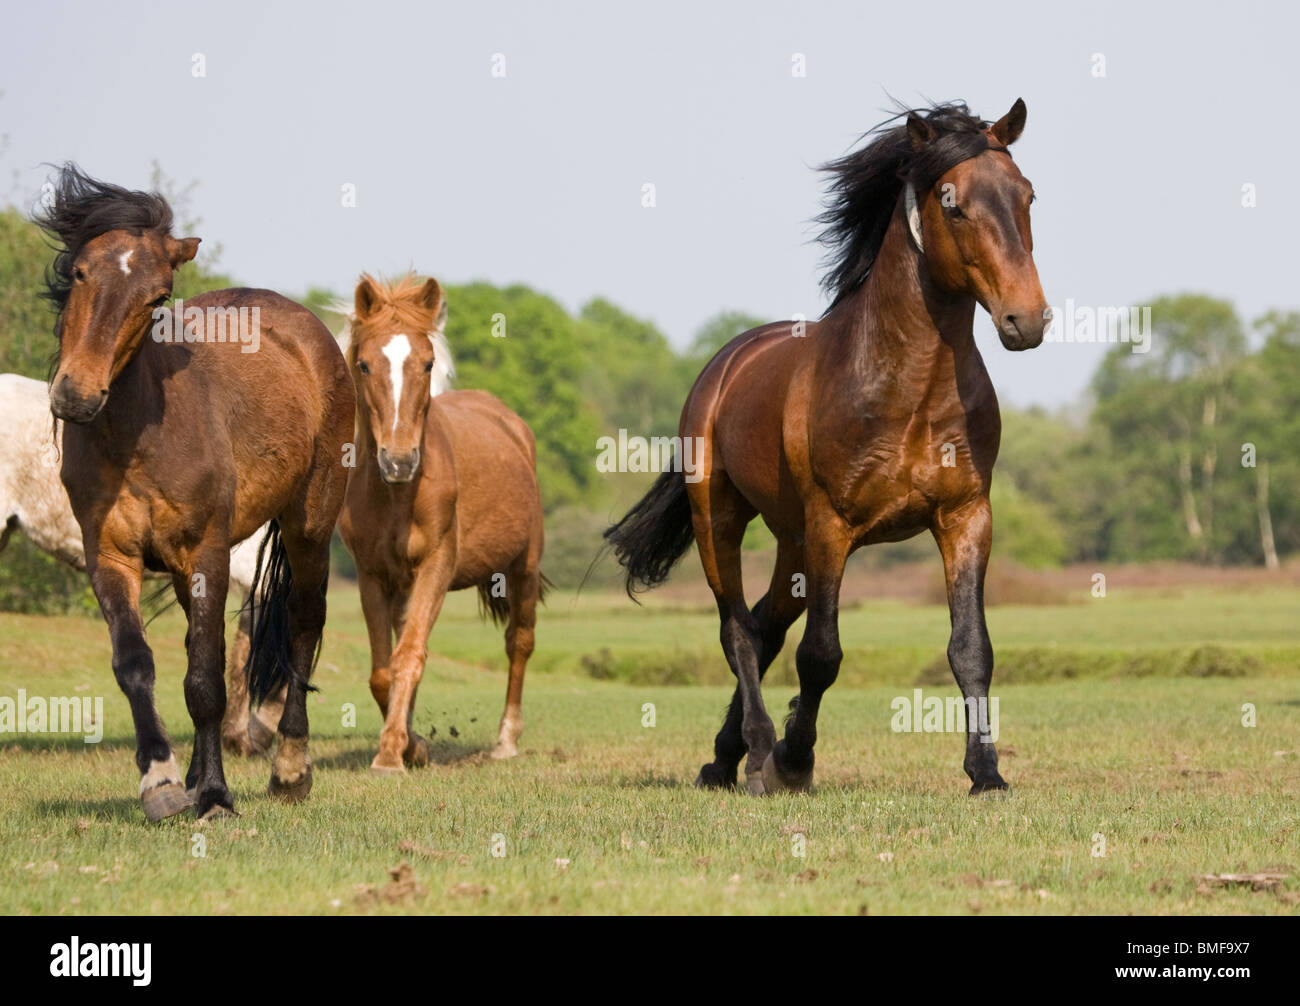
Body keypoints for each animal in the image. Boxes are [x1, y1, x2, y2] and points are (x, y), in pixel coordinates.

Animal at [35, 164, 355, 821]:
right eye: (80, 272)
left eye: (156, 297)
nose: (75, 395)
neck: (135, 435)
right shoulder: (110, 555)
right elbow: (137, 664)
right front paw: (161, 783)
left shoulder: (206, 553)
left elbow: (206, 679)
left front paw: (213, 795)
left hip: (310, 524)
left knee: (304, 621)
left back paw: (290, 769)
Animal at [337, 274, 546, 773]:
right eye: (364, 365)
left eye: (428, 362)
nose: (398, 460)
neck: (397, 496)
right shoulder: (373, 576)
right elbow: (384, 670)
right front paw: (410, 742)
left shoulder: (435, 565)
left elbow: (410, 655)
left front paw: (394, 752)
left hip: (524, 567)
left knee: (519, 642)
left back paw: (505, 740)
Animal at [605, 99, 1049, 796]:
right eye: (951, 203)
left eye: (1027, 195)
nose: (1026, 320)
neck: (910, 388)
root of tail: (725, 363)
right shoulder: (831, 525)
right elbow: (821, 655)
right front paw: (794, 759)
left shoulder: (965, 517)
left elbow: (971, 647)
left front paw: (986, 773)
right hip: (721, 520)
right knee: (737, 628)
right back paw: (759, 752)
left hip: (791, 542)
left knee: (764, 626)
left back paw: (722, 758)